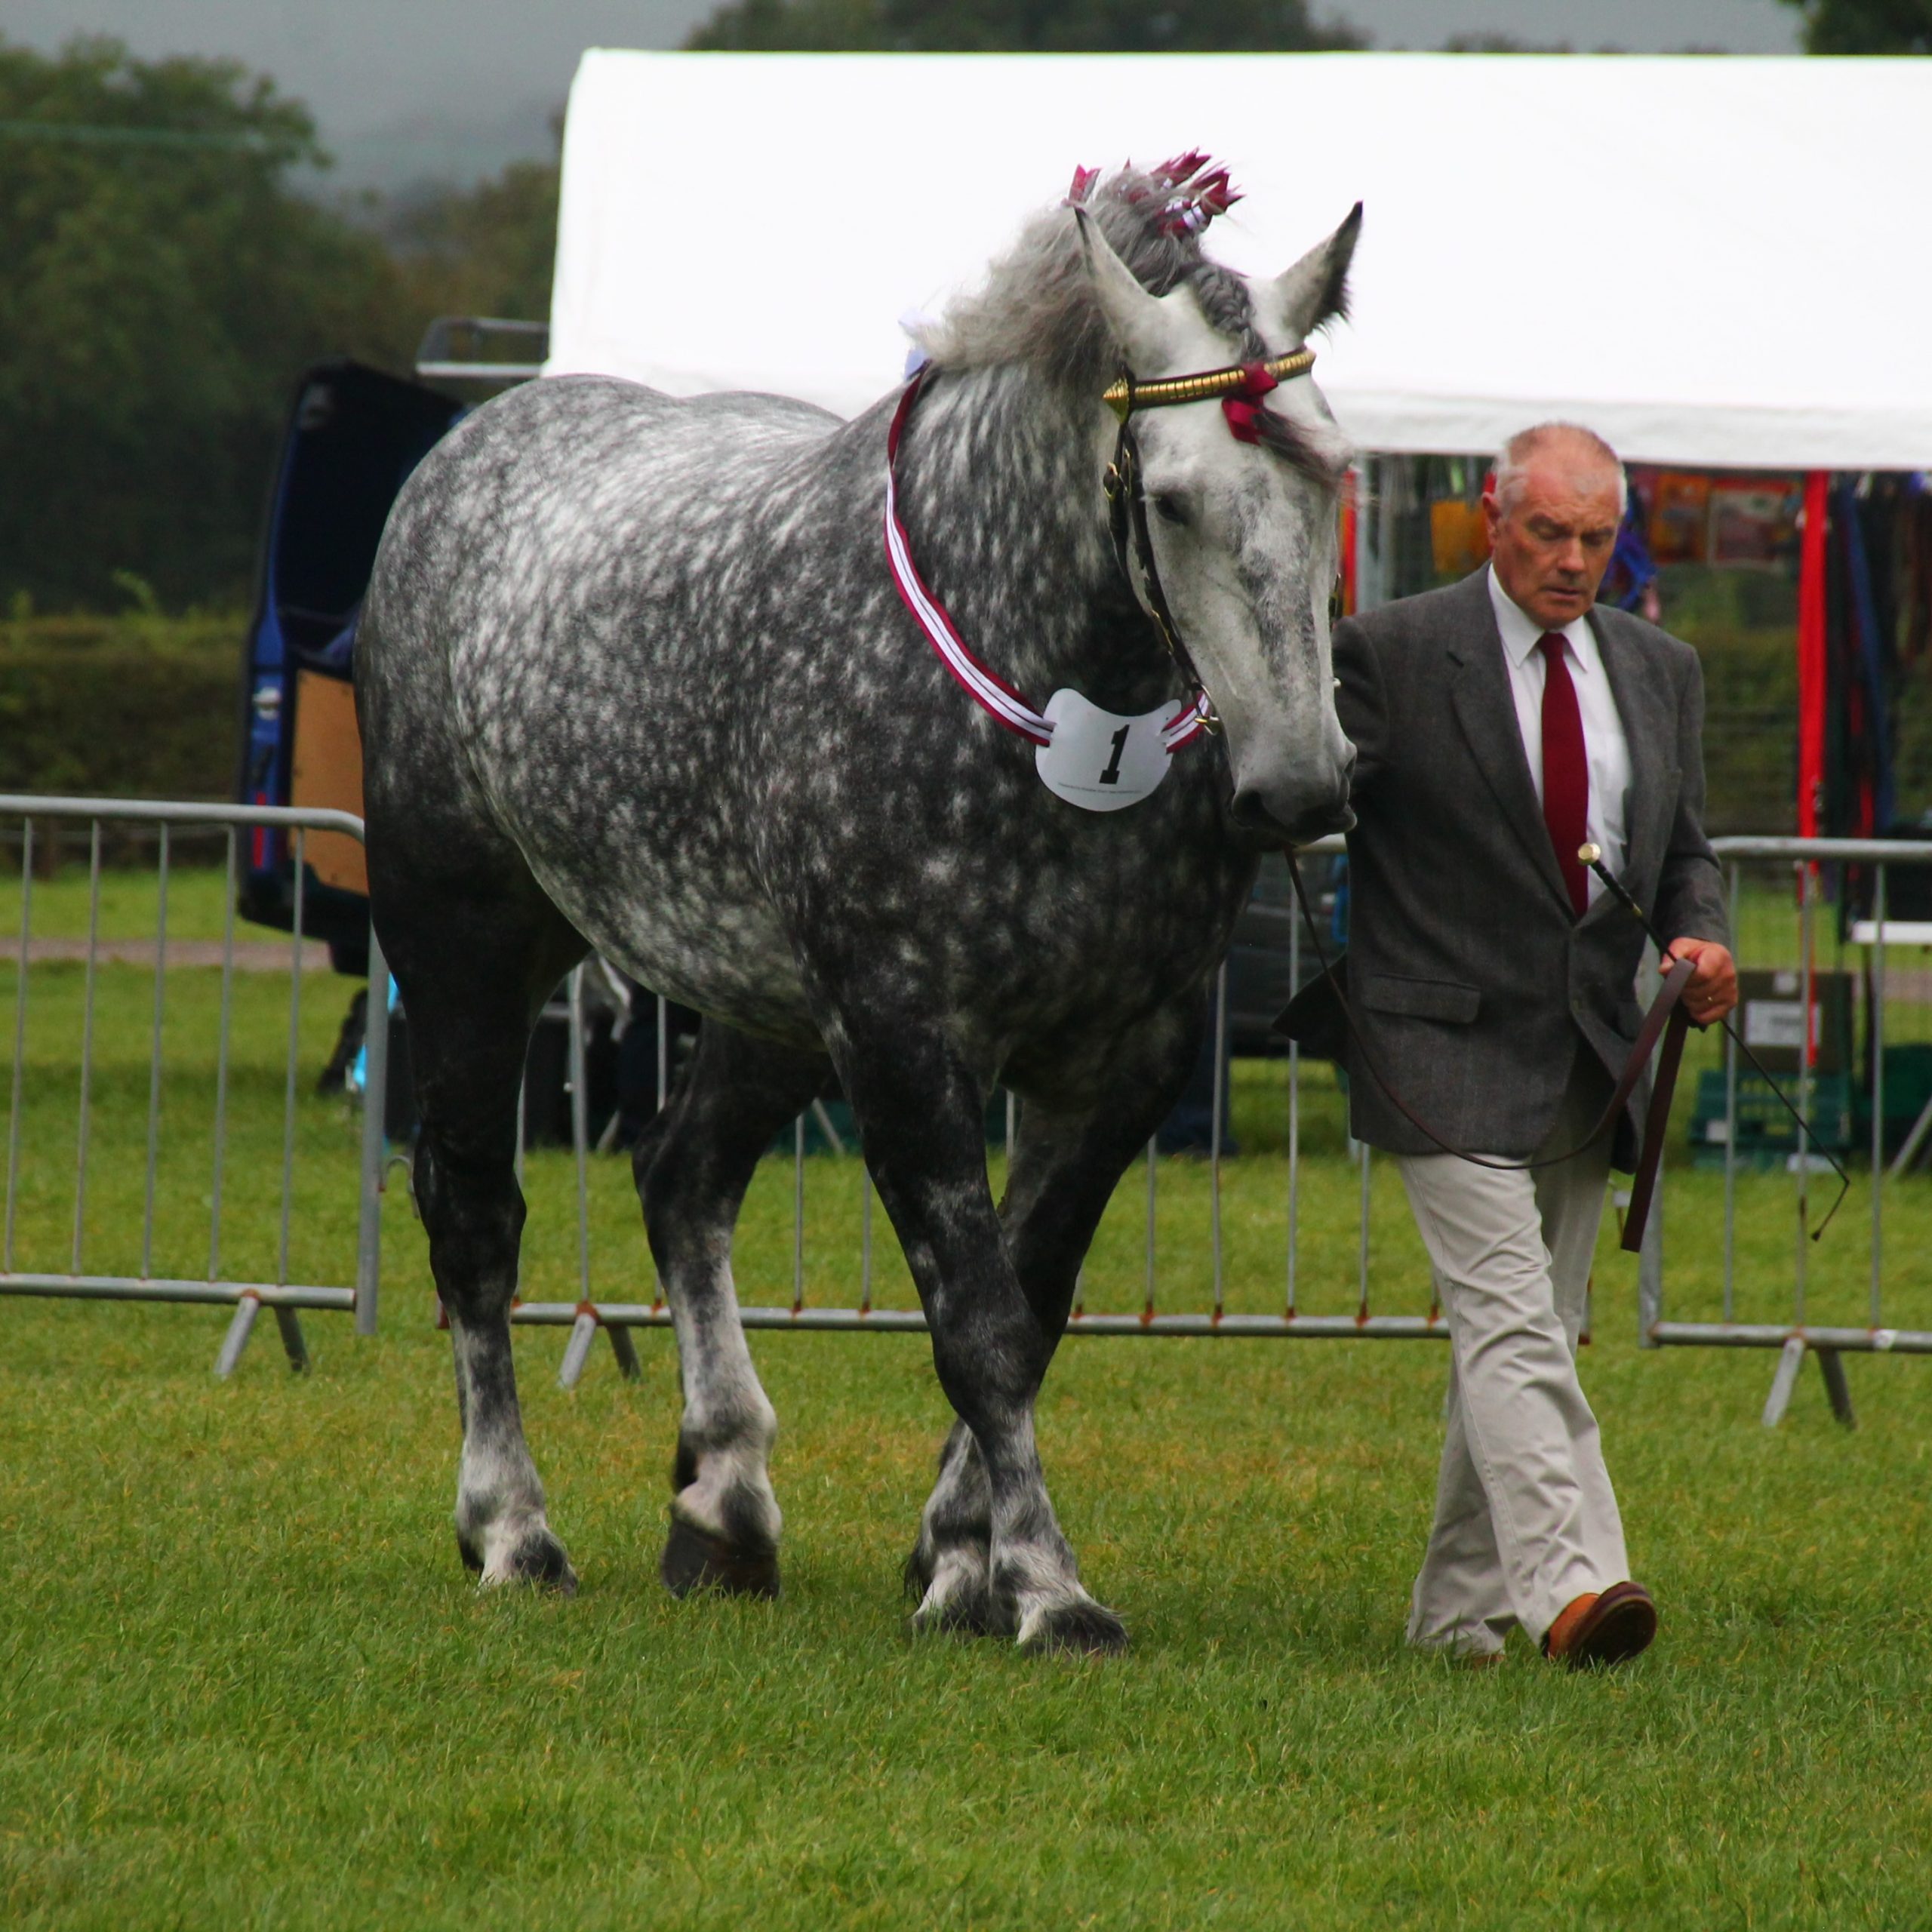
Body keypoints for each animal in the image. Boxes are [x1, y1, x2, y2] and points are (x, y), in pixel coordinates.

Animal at [356, 156, 1360, 1654]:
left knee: (681, 1176)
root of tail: (467, 454)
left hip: (767, 1009)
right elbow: (981, 1323)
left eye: (1333, 479)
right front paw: (1047, 1588)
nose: (1301, 787)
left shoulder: (1123, 1061)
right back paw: (515, 1532)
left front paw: (958, 1561)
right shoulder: (903, 1040)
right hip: (465, 945)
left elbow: (1033, 1306)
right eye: (1175, 499)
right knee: (474, 1213)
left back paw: (724, 1503)